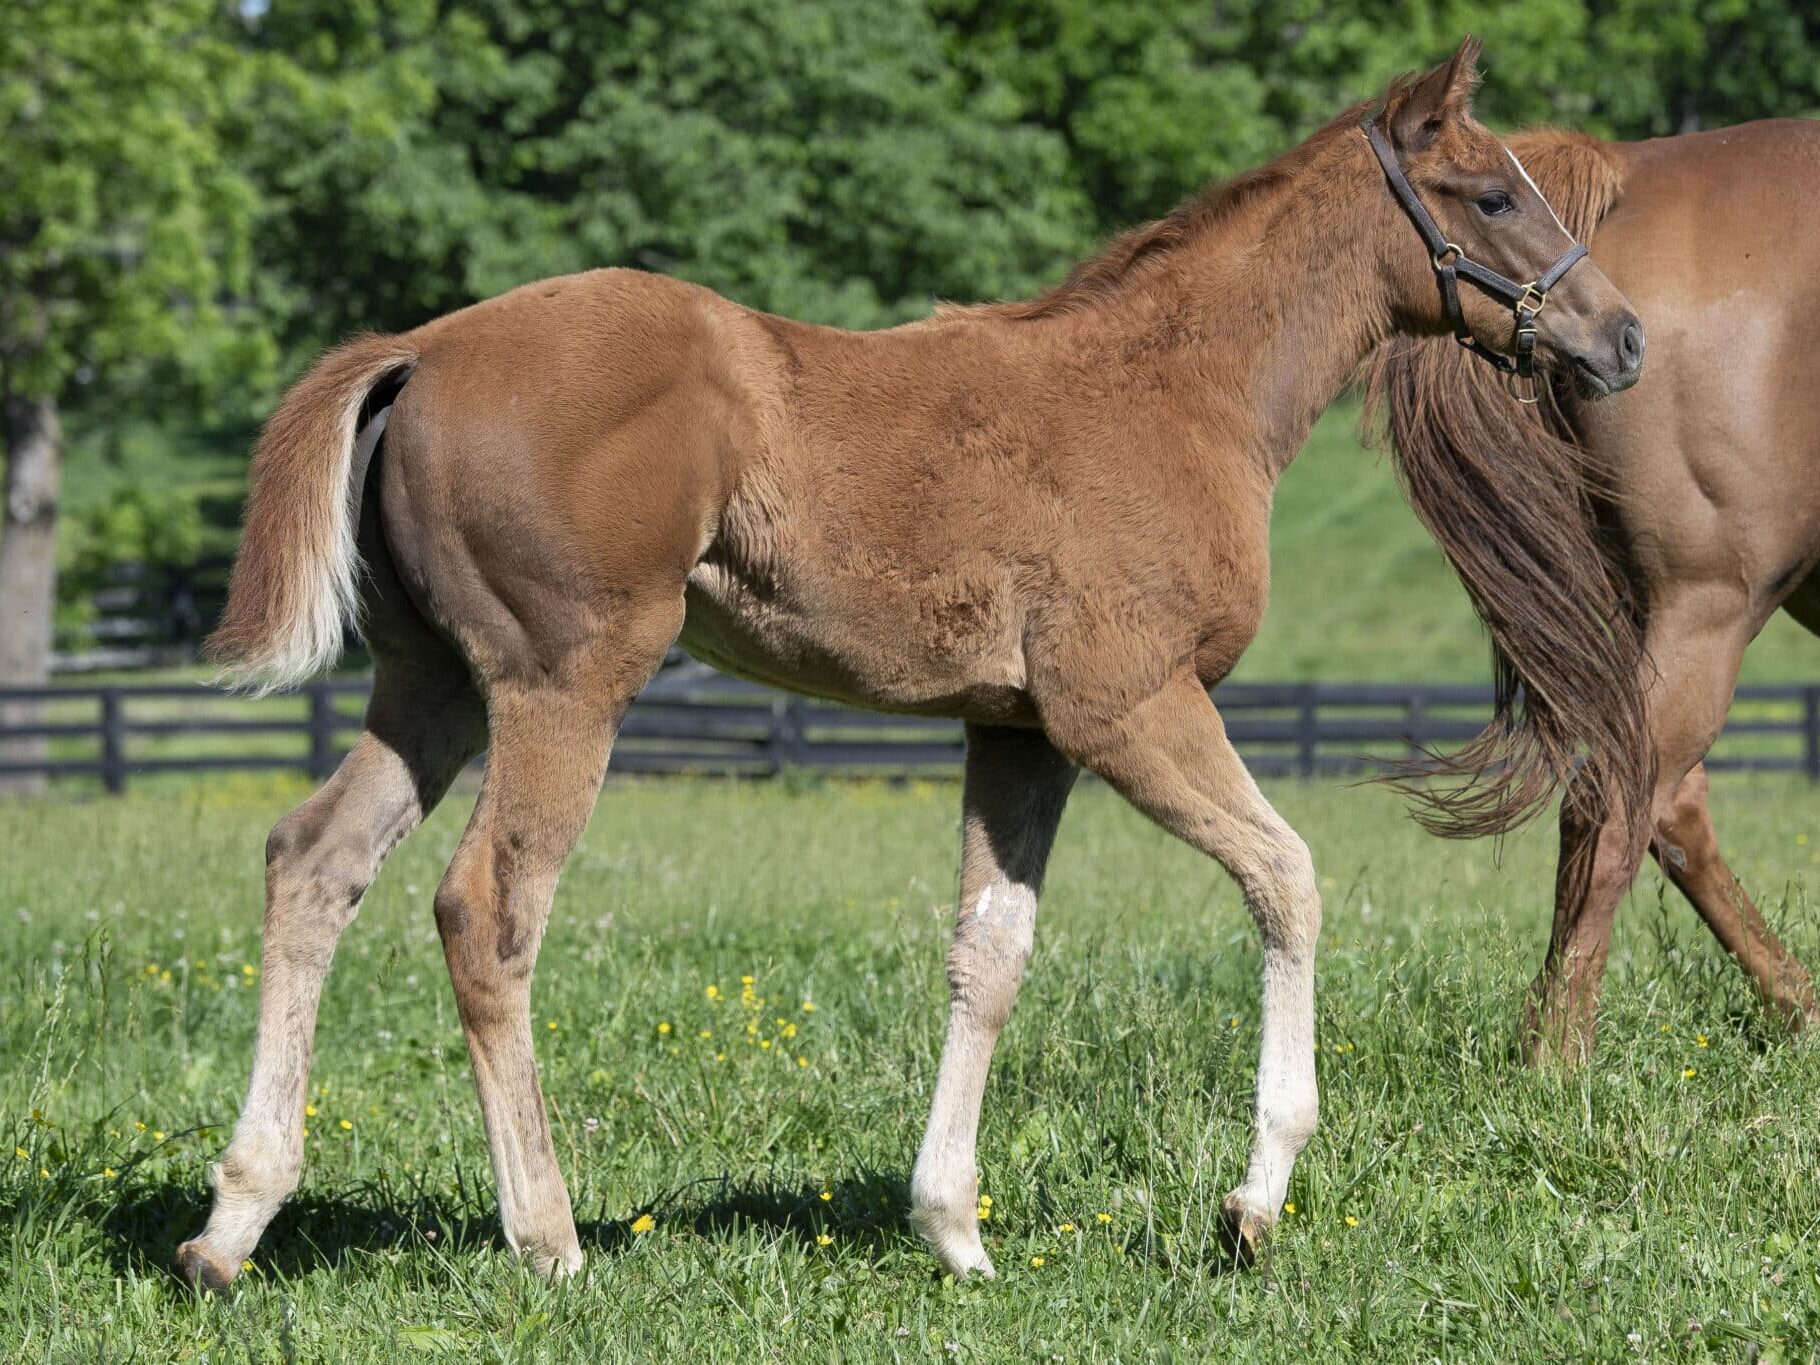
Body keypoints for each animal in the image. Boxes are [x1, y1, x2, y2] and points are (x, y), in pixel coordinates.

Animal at [175, 39, 1642, 1290]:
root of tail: (418, 350)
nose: (1619, 337)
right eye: (1490, 194)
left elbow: (987, 948)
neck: (1174, 393)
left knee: (313, 861)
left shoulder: (1019, 732)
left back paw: (232, 1225)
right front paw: (1251, 1205)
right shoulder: (1127, 708)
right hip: (561, 682)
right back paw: (547, 1238)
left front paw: (953, 1231)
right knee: (487, 908)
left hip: (426, 683)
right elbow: (1287, 877)